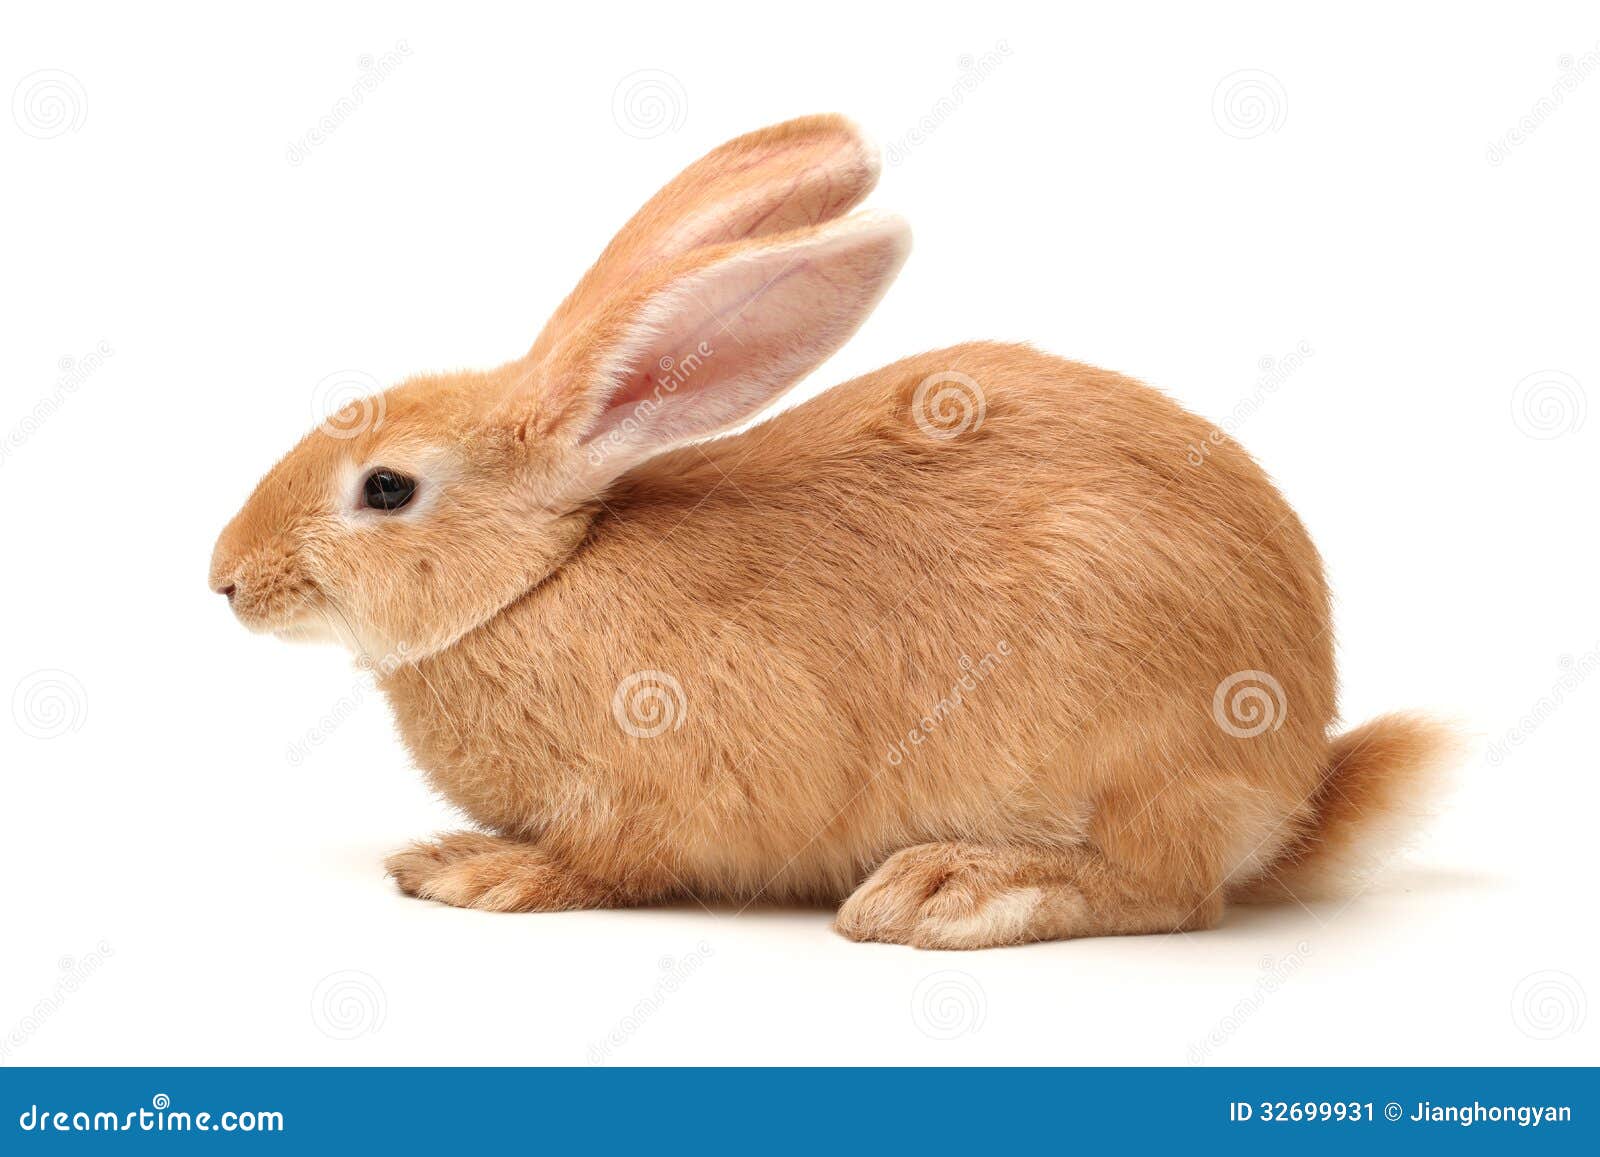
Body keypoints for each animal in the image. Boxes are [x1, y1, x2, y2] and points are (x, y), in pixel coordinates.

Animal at [210, 114, 1455, 948]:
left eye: (385, 488)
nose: (225, 579)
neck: (540, 577)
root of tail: (1295, 784)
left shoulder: (671, 786)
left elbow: (606, 862)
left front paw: (476, 873)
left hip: (1129, 753)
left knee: (1169, 888)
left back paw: (949, 889)